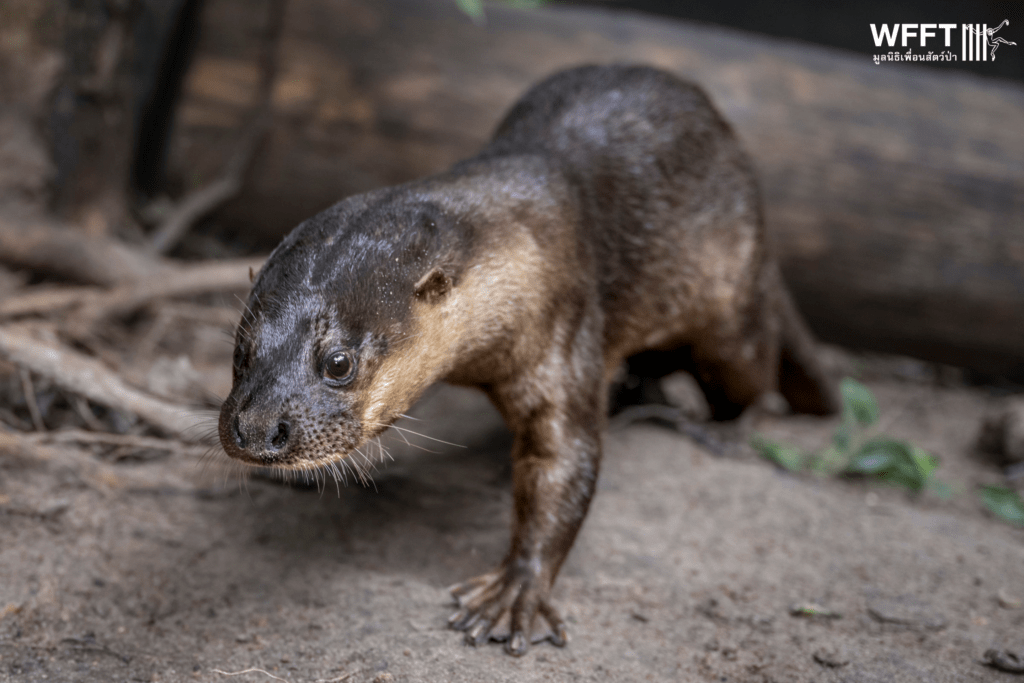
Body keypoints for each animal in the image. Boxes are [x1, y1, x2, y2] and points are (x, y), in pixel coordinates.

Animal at [218, 65, 837, 656]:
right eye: (241, 351)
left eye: (338, 362)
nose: (255, 429)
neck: (519, 250)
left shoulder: (565, 322)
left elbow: (565, 456)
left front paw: (515, 592)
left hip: (729, 305)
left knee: (750, 367)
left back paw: (725, 428)